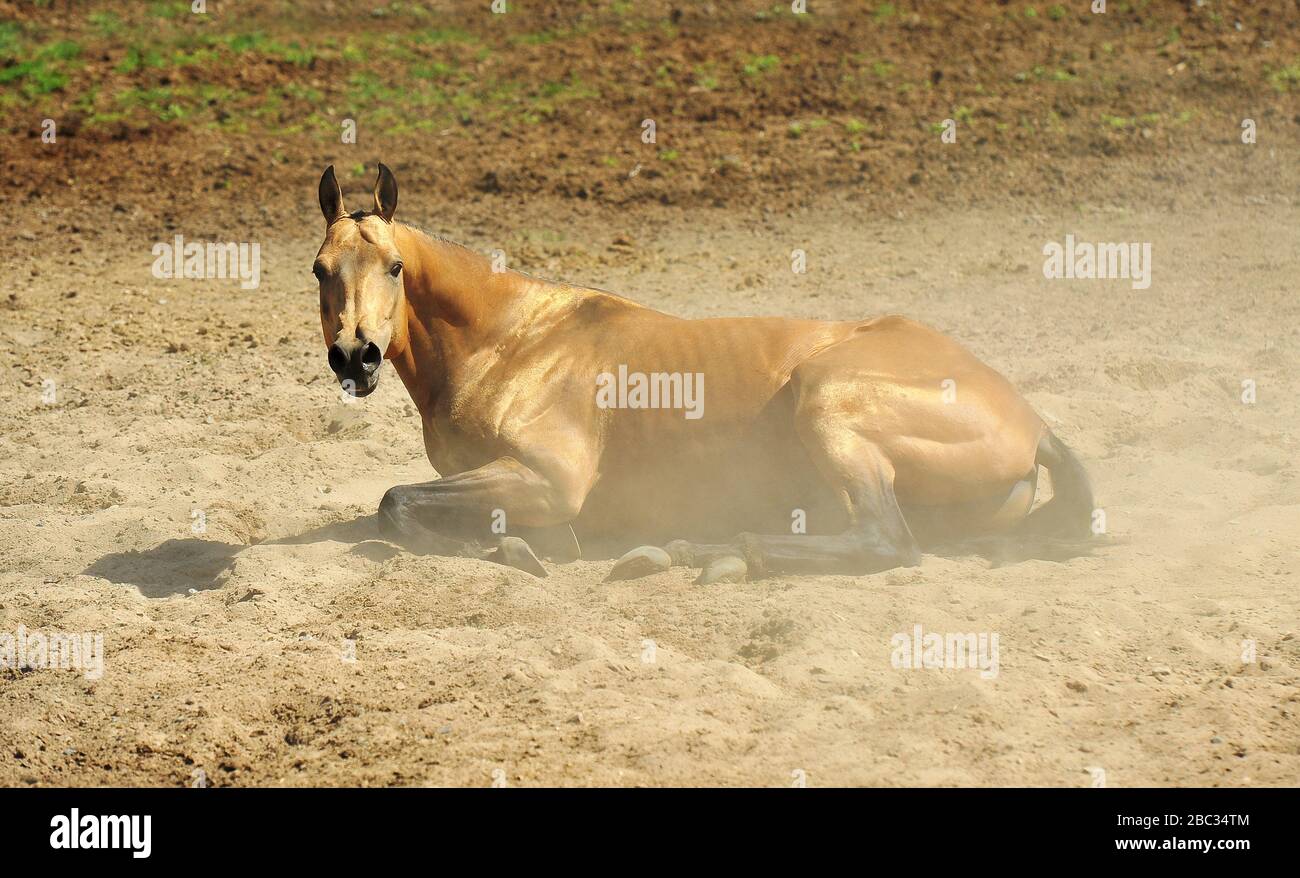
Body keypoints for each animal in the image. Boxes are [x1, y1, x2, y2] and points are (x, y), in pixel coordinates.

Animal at [312, 164, 1094, 583]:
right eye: (321, 269)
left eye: (395, 267)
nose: (356, 357)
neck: (512, 341)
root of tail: (1032, 423)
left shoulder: (549, 479)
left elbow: (396, 504)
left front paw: (524, 548)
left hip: (825, 401)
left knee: (883, 540)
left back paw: (710, 552)